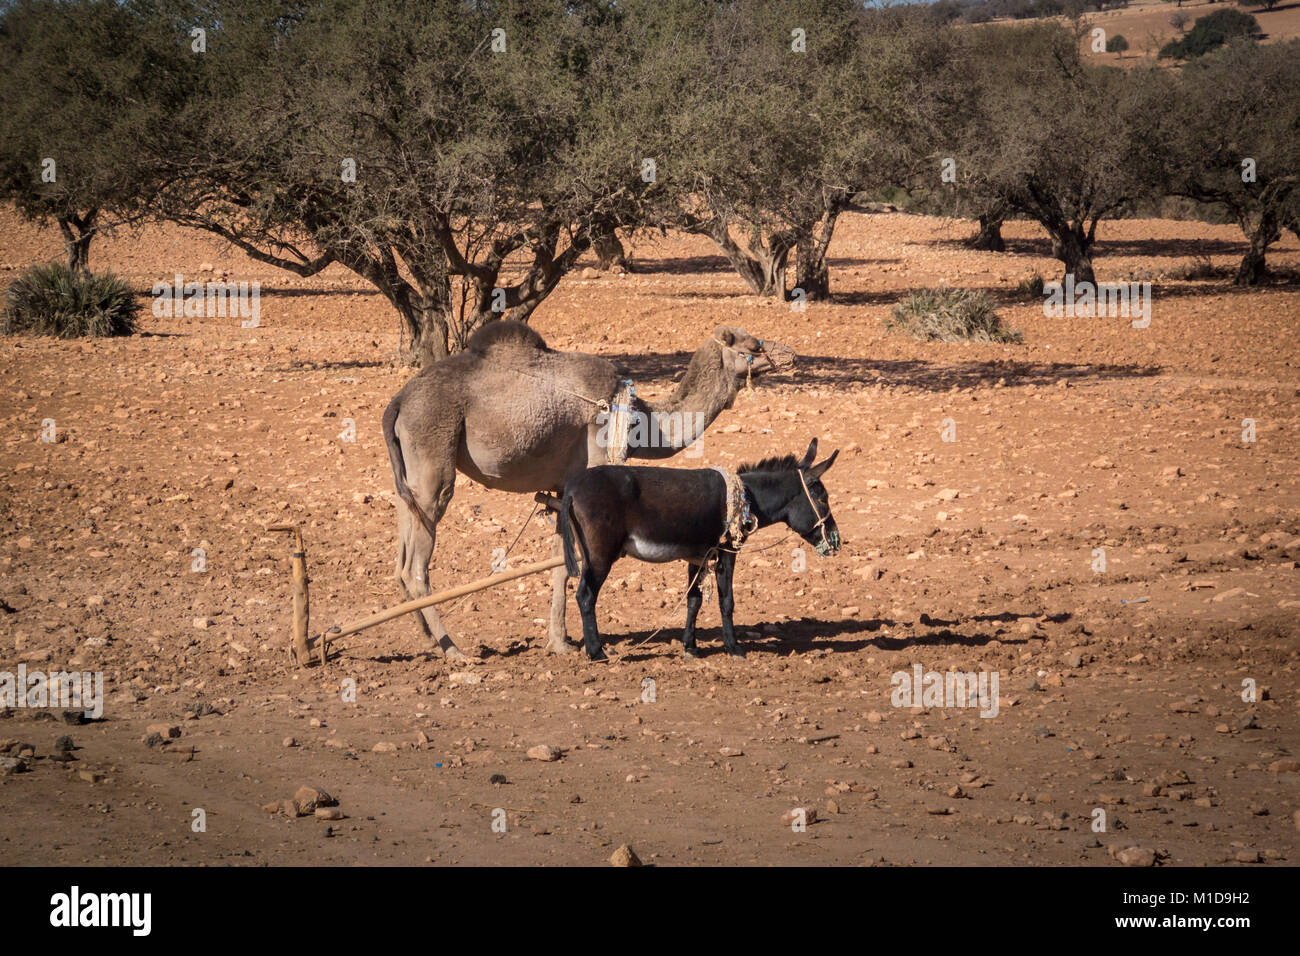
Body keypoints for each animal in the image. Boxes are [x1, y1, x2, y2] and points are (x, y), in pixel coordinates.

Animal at [381, 320, 795, 659]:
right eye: (754, 344)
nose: (788, 355)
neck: (642, 419)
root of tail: (397, 403)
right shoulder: (598, 456)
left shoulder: (563, 487)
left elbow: (562, 564)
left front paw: (559, 641)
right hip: (434, 461)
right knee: (417, 566)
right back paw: (453, 649)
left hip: (409, 478)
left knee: (402, 556)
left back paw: (428, 639)